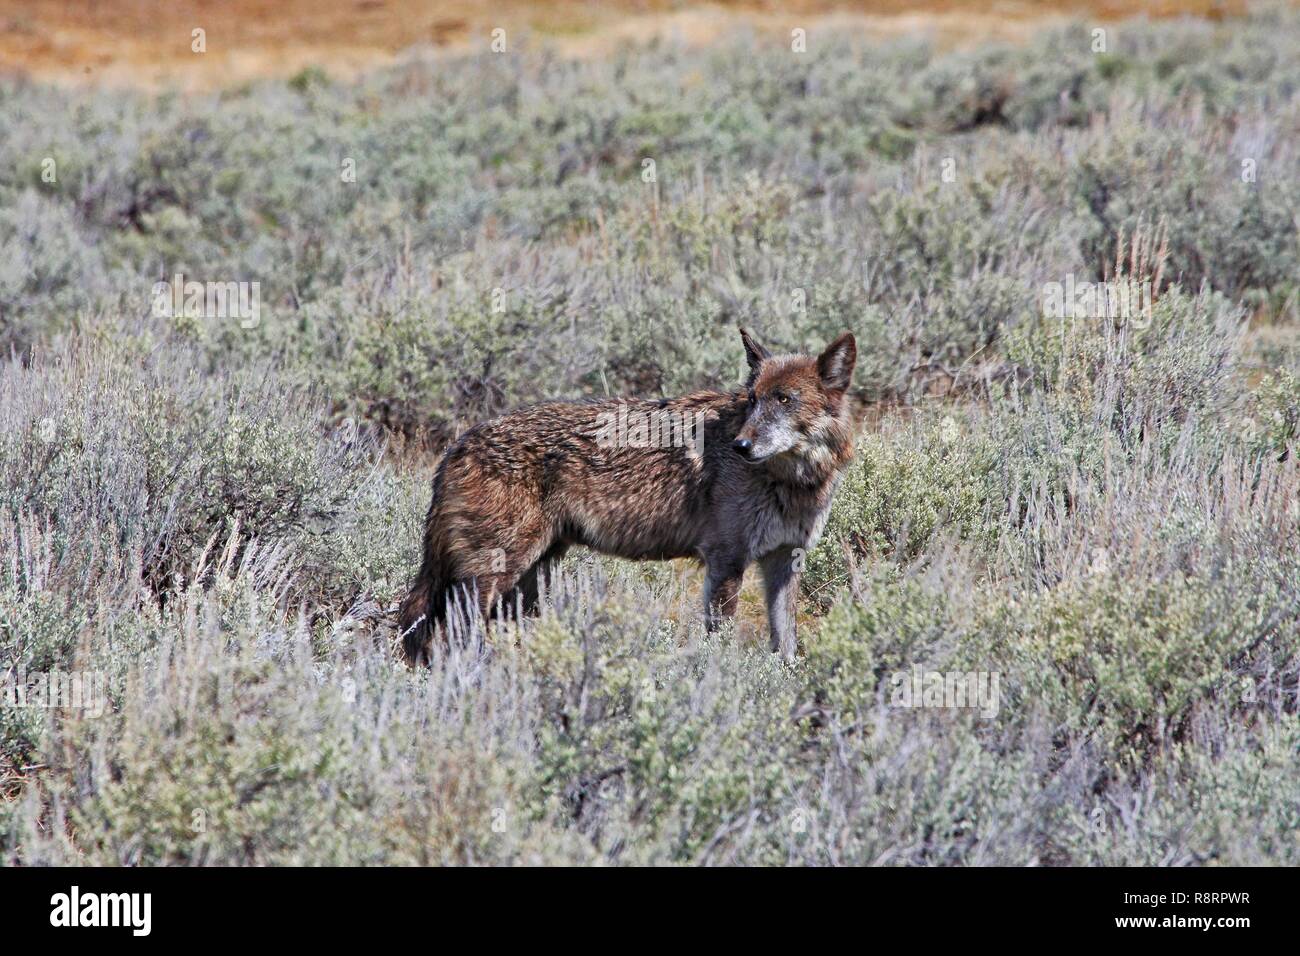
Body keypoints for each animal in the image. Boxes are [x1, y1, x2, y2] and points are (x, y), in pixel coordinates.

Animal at [398, 327, 857, 664]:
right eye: (752, 400)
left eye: (784, 399)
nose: (741, 446)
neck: (790, 482)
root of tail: (457, 445)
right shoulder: (725, 563)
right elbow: (721, 645)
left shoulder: (785, 562)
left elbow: (786, 645)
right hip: (494, 577)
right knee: (450, 634)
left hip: (530, 579)